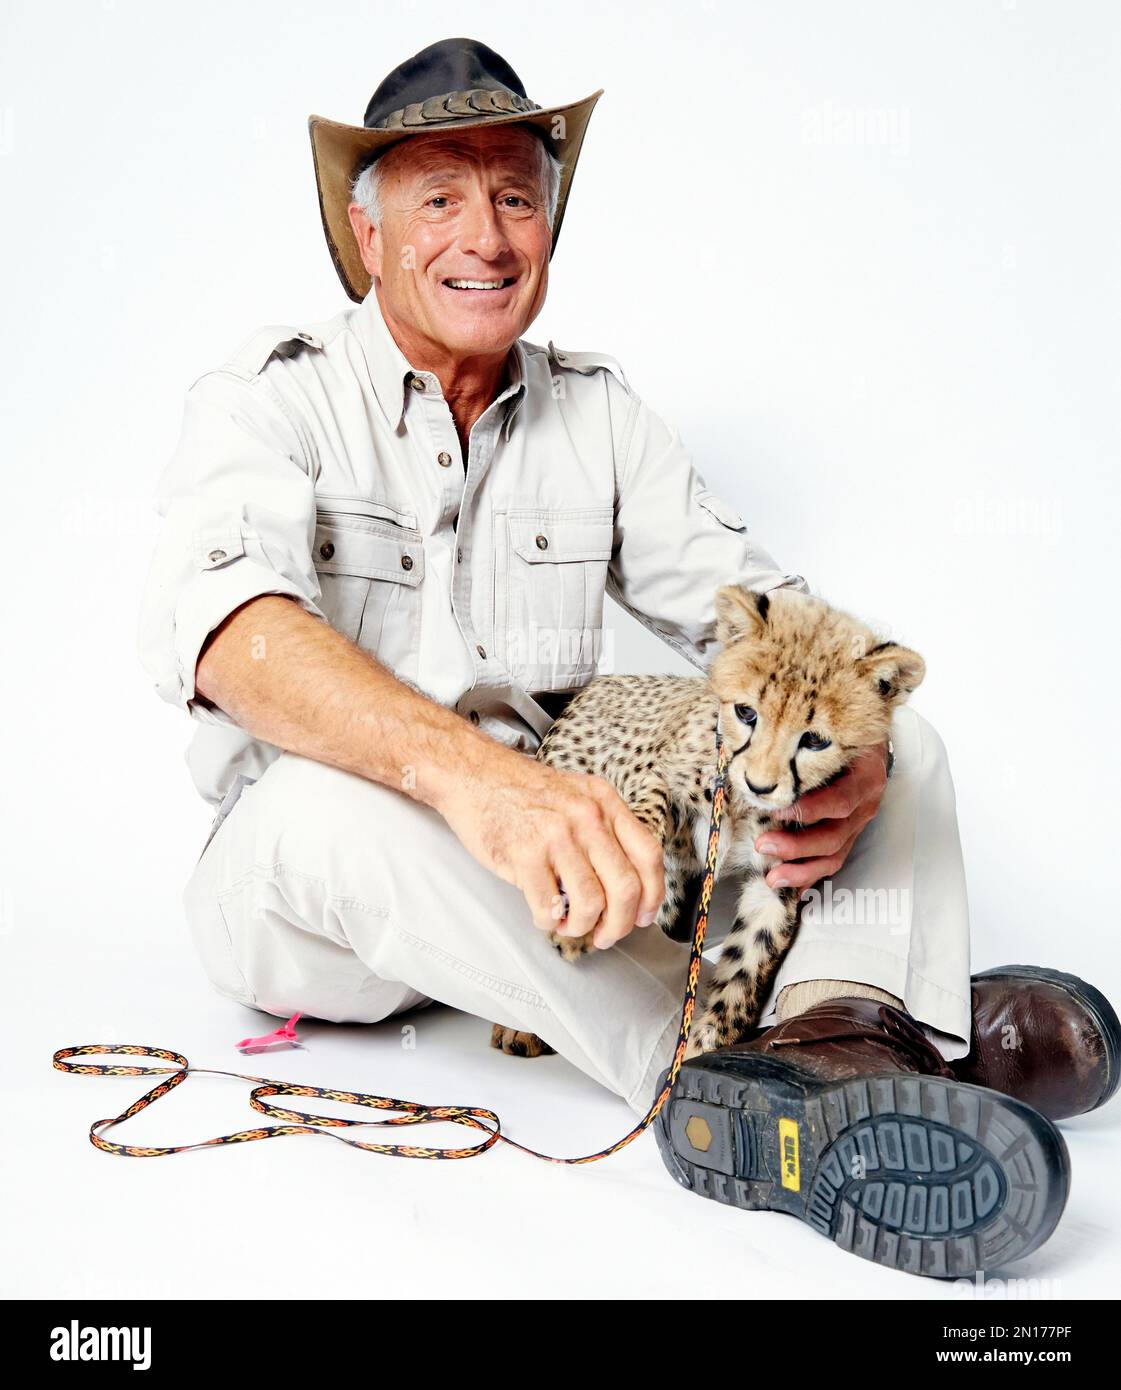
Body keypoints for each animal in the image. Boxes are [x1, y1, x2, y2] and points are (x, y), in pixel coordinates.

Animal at [489, 582, 925, 1061]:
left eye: (814, 740)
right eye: (747, 713)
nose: (759, 784)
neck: (741, 806)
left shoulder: (779, 879)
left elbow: (746, 966)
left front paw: (704, 1050)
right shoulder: (651, 774)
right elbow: (640, 822)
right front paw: (594, 904)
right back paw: (520, 1027)